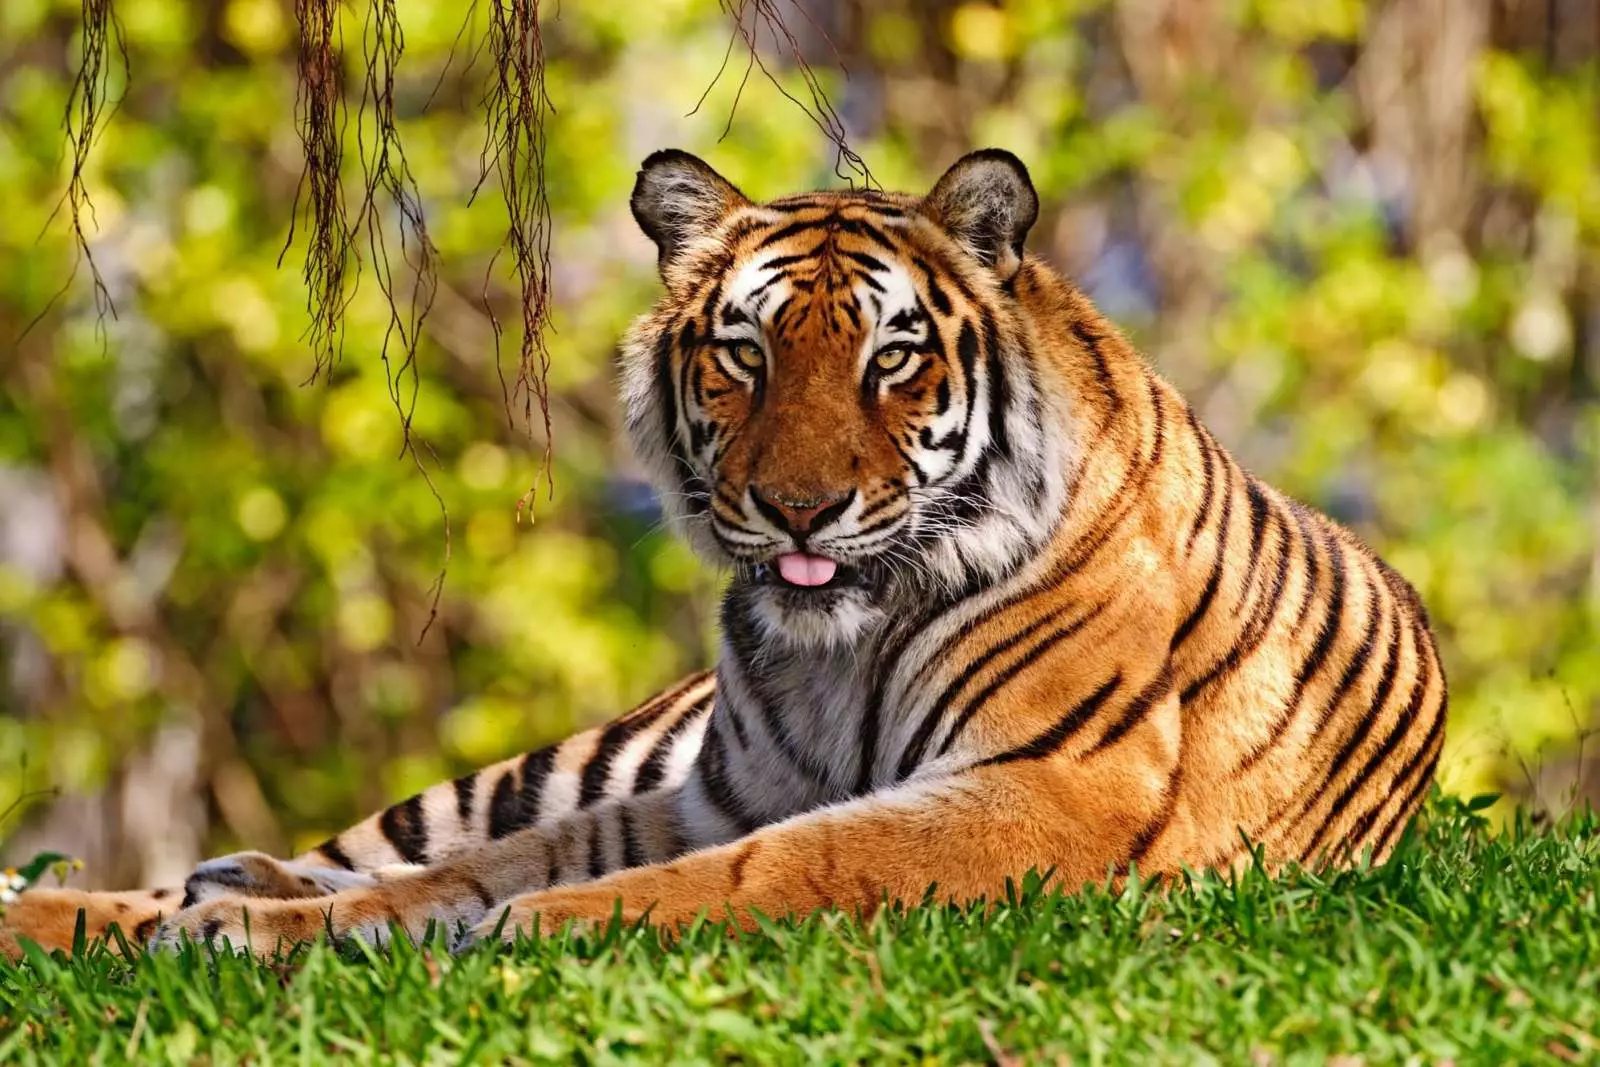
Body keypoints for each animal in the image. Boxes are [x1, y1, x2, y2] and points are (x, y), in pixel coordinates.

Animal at [0, 150, 1452, 959]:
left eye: (892, 357)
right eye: (744, 353)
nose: (797, 507)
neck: (839, 648)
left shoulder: (1052, 790)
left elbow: (771, 867)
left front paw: (534, 930)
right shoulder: (716, 790)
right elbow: (480, 867)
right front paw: (258, 925)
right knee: (371, 845)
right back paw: (151, 897)